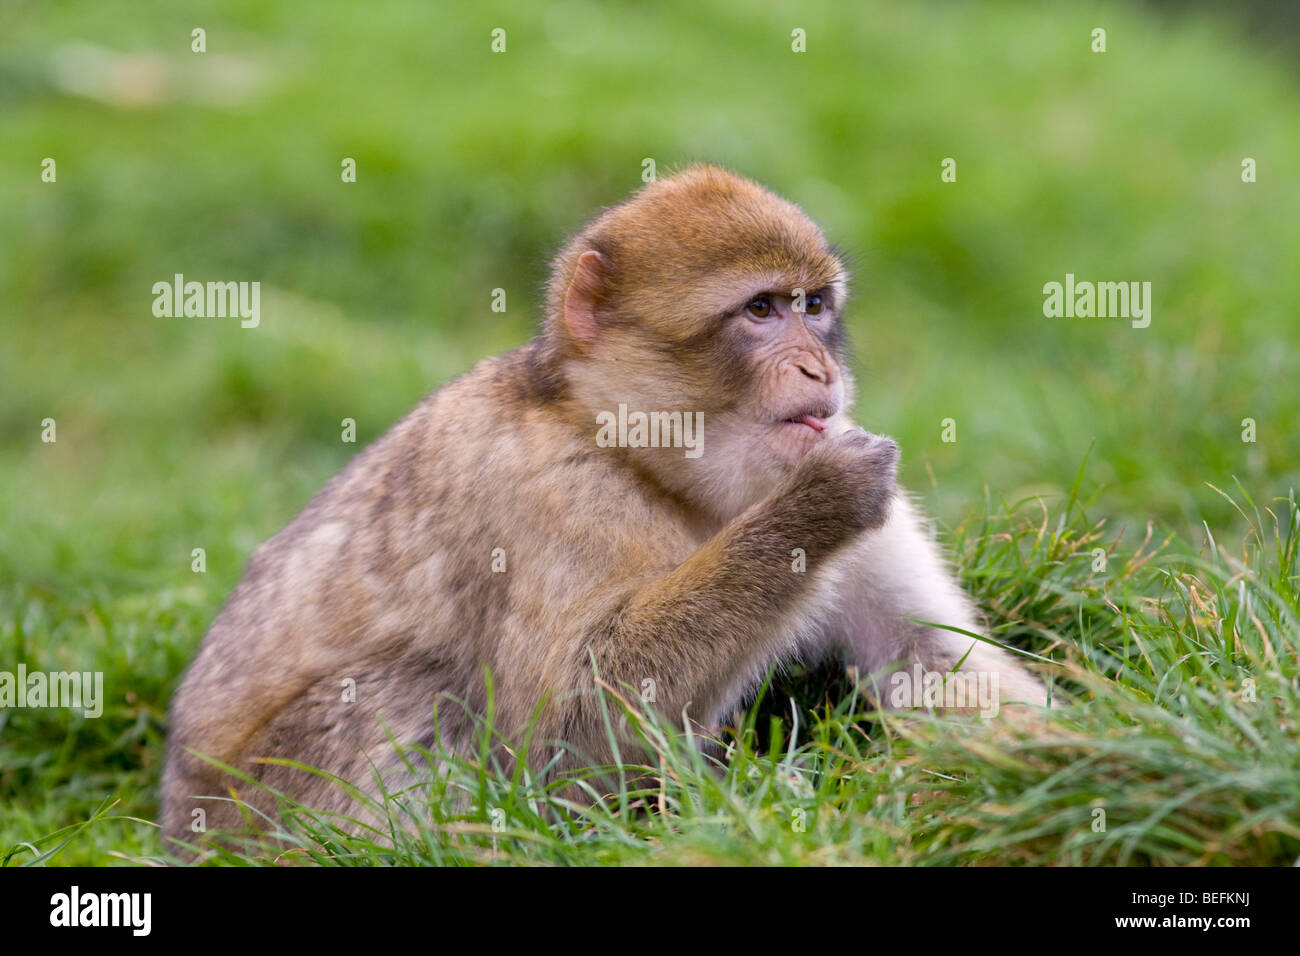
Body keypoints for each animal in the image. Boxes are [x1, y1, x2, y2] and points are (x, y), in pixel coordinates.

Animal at [160, 164, 1050, 852]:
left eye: (813, 307)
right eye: (761, 310)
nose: (816, 372)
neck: (633, 453)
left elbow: (936, 664)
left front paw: (1059, 762)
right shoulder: (547, 494)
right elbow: (574, 726)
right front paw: (811, 511)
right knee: (401, 686)